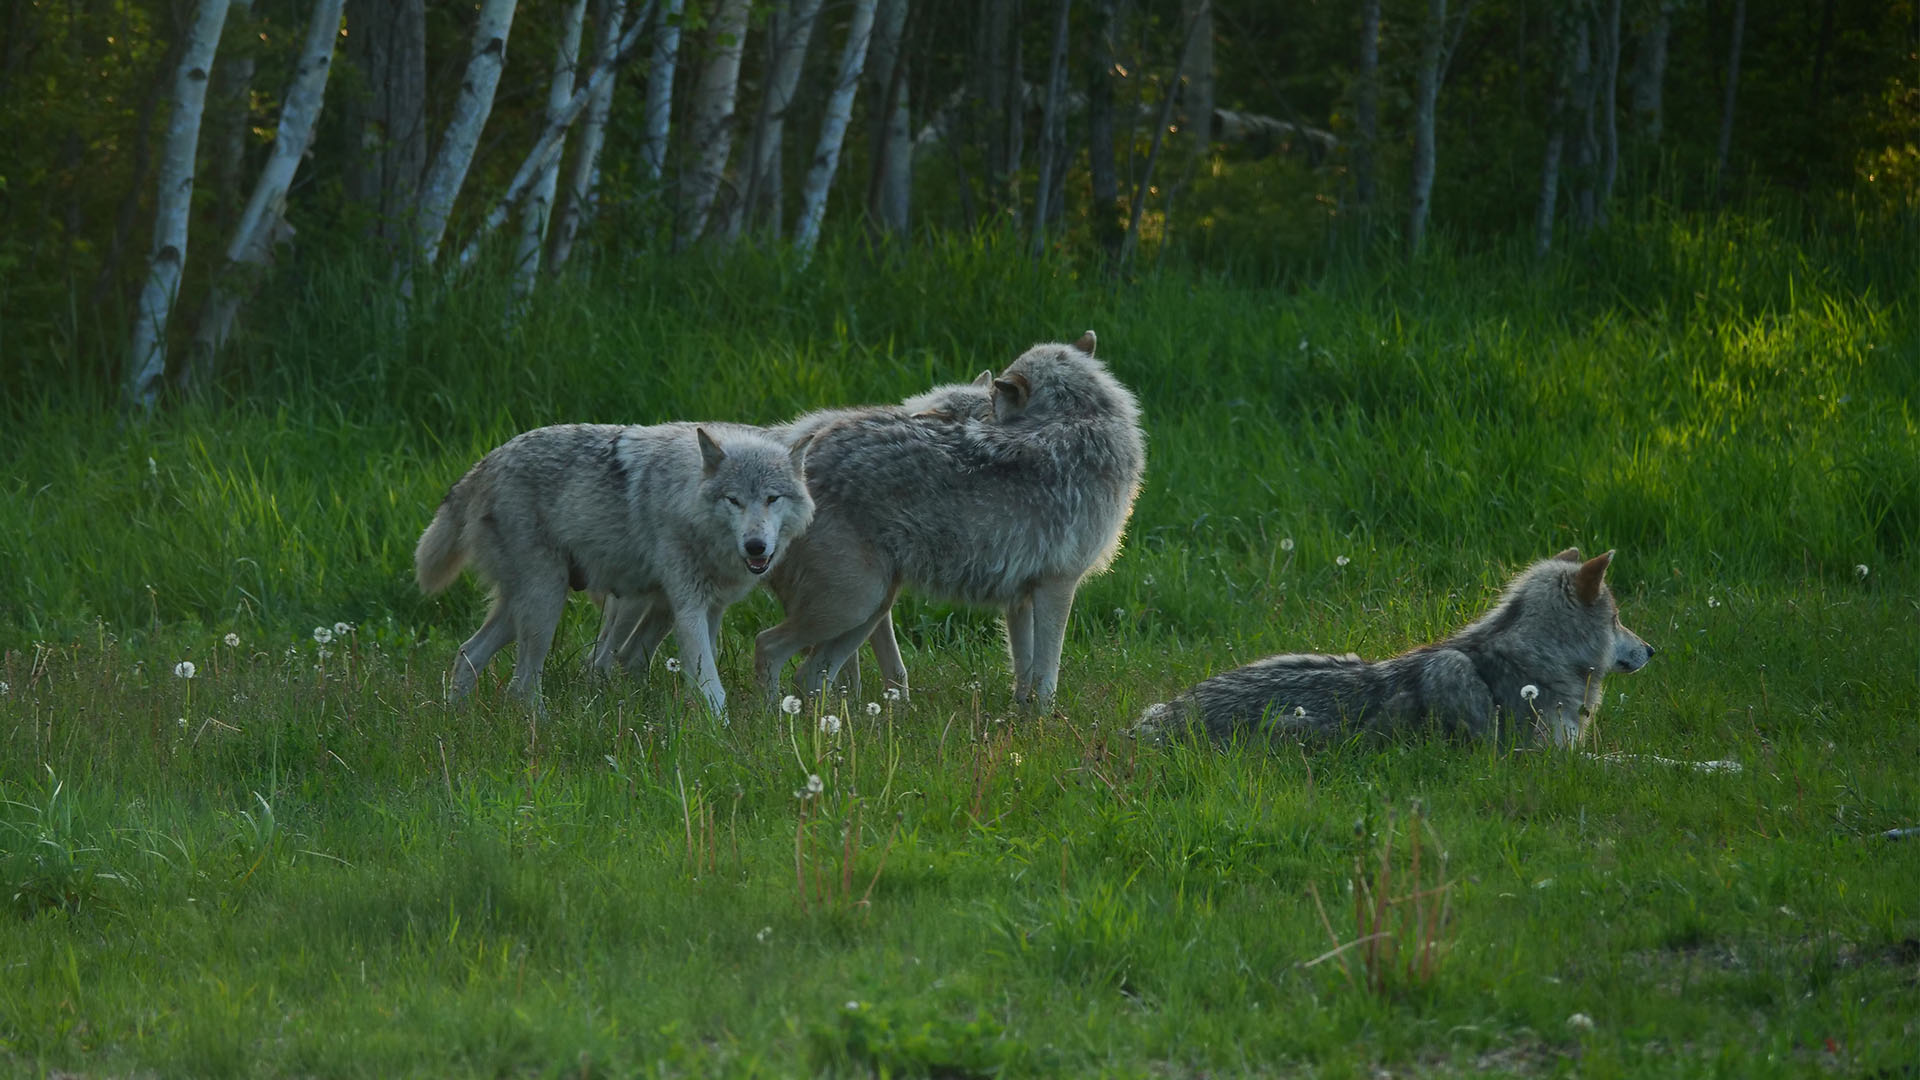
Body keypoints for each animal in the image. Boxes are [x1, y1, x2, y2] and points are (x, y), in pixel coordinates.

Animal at [414, 422, 814, 716]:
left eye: (772, 498)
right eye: (734, 500)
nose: (756, 546)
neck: (684, 495)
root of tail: (487, 461)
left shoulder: (711, 608)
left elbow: (704, 671)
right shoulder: (687, 608)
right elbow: (712, 689)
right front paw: (719, 737)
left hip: (524, 609)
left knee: (469, 653)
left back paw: (457, 721)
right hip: (545, 604)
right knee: (522, 684)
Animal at [589, 371, 998, 697]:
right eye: (988, 424)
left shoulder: (877, 599)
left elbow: (892, 669)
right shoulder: (856, 595)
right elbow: (846, 666)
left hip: (664, 603)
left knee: (627, 654)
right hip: (640, 601)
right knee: (603, 654)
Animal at [753, 331, 1147, 708]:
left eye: (993, 401)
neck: (1081, 419)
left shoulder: (1020, 597)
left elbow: (1025, 667)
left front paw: (1021, 713)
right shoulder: (1059, 585)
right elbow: (1047, 674)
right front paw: (1045, 721)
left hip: (869, 607)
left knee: (813, 674)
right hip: (855, 605)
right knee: (768, 646)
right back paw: (773, 718)